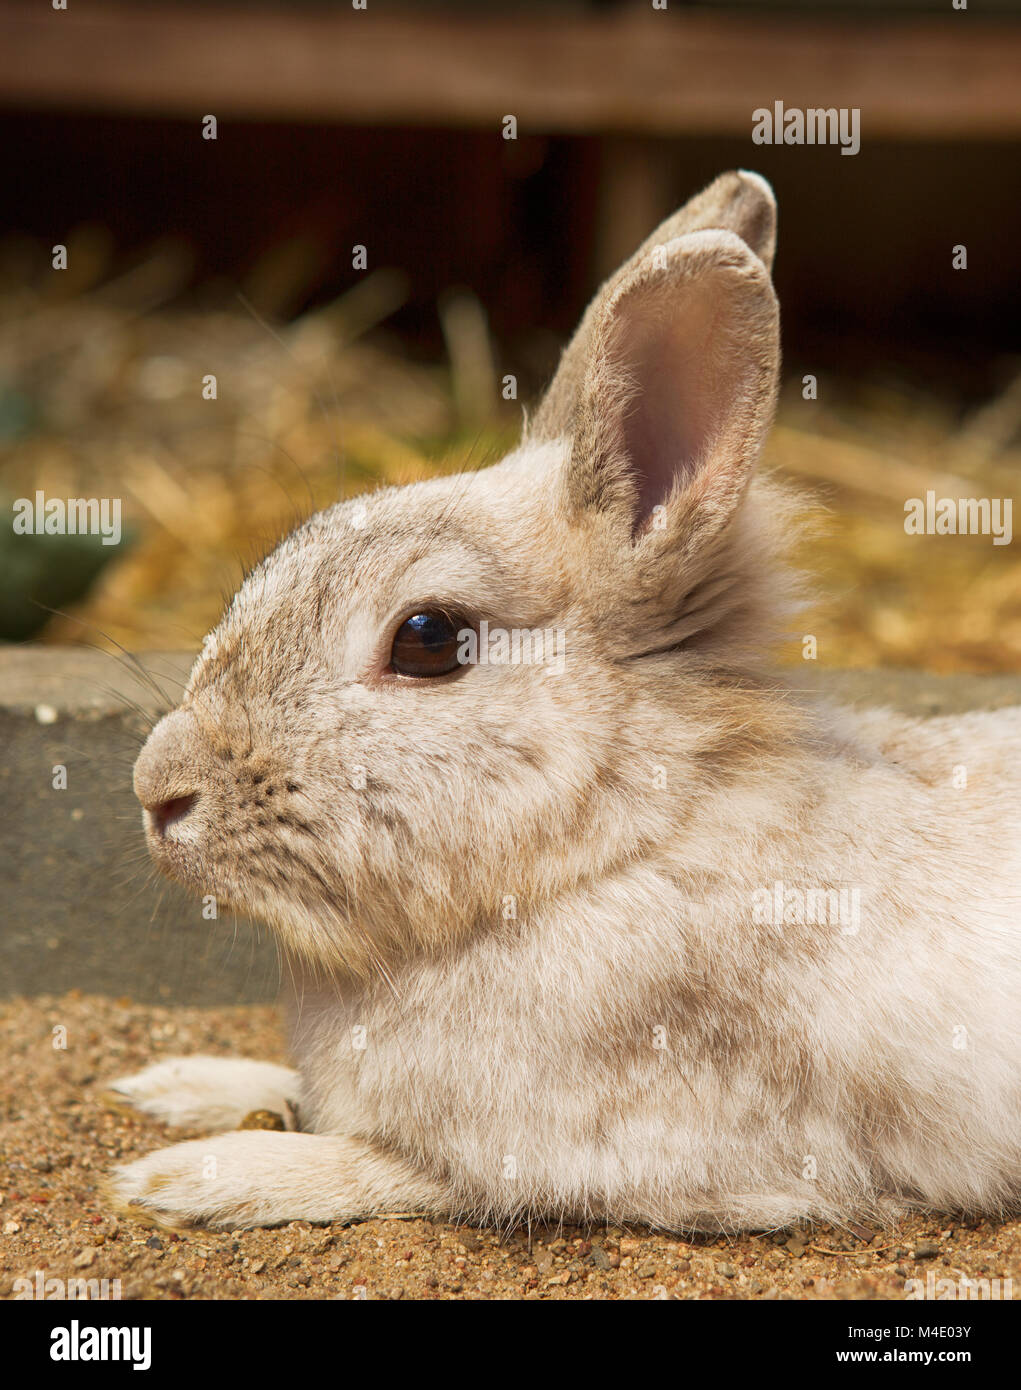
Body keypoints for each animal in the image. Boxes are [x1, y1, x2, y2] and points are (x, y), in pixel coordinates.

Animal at [104, 170, 1021, 1234]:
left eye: (428, 640)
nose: (156, 790)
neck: (618, 844)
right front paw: (177, 1084)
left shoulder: (585, 1157)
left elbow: (379, 1169)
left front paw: (190, 1174)